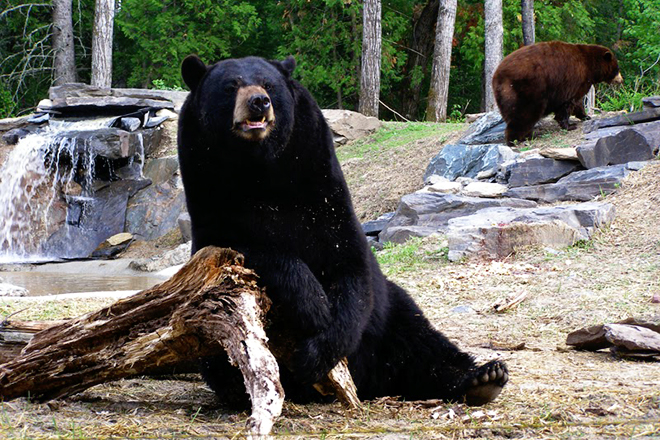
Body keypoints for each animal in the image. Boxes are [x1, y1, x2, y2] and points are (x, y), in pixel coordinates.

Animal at [177, 55, 509, 407]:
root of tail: (372, 381)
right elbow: (243, 248)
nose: (259, 102)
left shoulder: (318, 182)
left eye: (269, 84)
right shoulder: (210, 192)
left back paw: (483, 377)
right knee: (219, 352)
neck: (259, 167)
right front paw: (312, 303)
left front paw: (317, 350)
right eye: (231, 86)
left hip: (389, 312)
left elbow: (348, 263)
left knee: (419, 338)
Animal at [492, 41, 623, 145]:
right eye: (617, 69)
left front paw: (585, 116)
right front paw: (570, 125)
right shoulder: (572, 79)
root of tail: (497, 77)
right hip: (528, 89)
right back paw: (517, 139)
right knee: (525, 114)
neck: (590, 65)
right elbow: (568, 103)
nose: (621, 80)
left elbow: (577, 102)